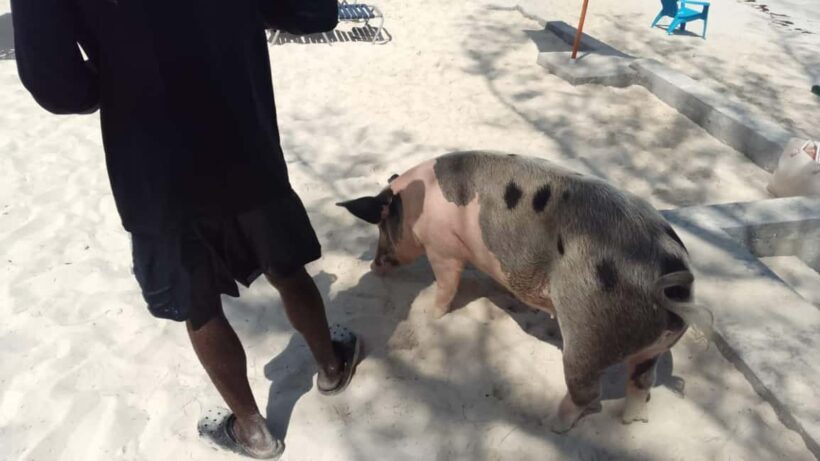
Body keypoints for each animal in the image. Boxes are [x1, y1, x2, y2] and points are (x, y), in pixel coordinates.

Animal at [338, 151, 712, 433]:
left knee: (587, 393)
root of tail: (668, 276)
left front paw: (429, 311)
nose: (373, 266)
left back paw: (549, 423)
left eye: (381, 225)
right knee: (642, 382)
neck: (415, 203)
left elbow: (446, 285)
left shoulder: (443, 249)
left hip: (586, 336)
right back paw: (631, 422)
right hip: (654, 348)